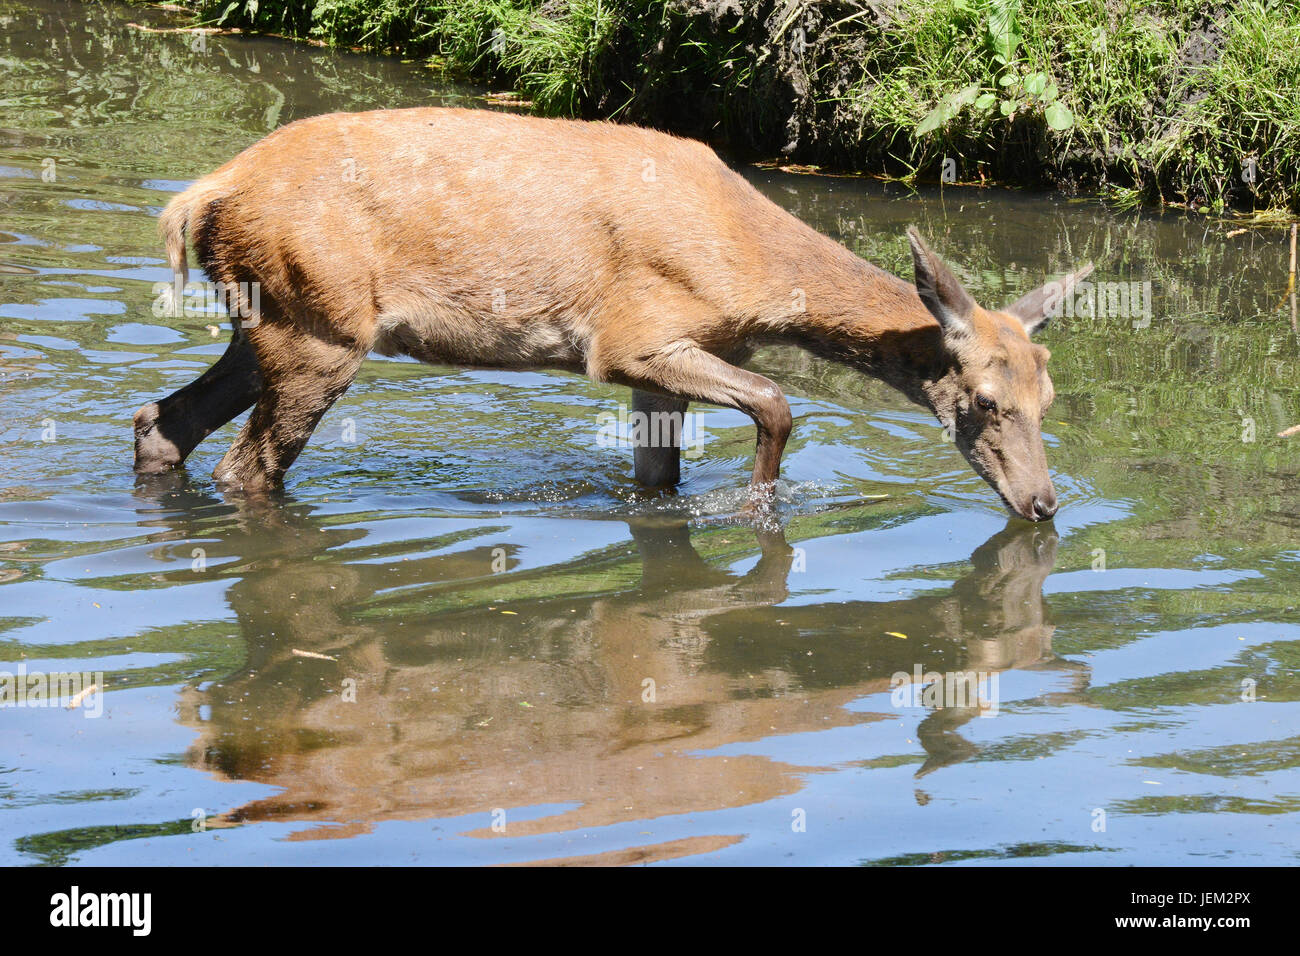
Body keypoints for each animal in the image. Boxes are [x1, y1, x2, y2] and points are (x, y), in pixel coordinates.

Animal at [133, 107, 1092, 520]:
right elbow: (778, 404)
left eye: (1049, 403)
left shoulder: (660, 366)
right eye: (986, 403)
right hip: (320, 329)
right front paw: (757, 509)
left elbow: (658, 478)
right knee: (245, 468)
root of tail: (201, 194)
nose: (1044, 502)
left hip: (265, 320)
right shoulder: (633, 336)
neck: (750, 273)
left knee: (163, 419)